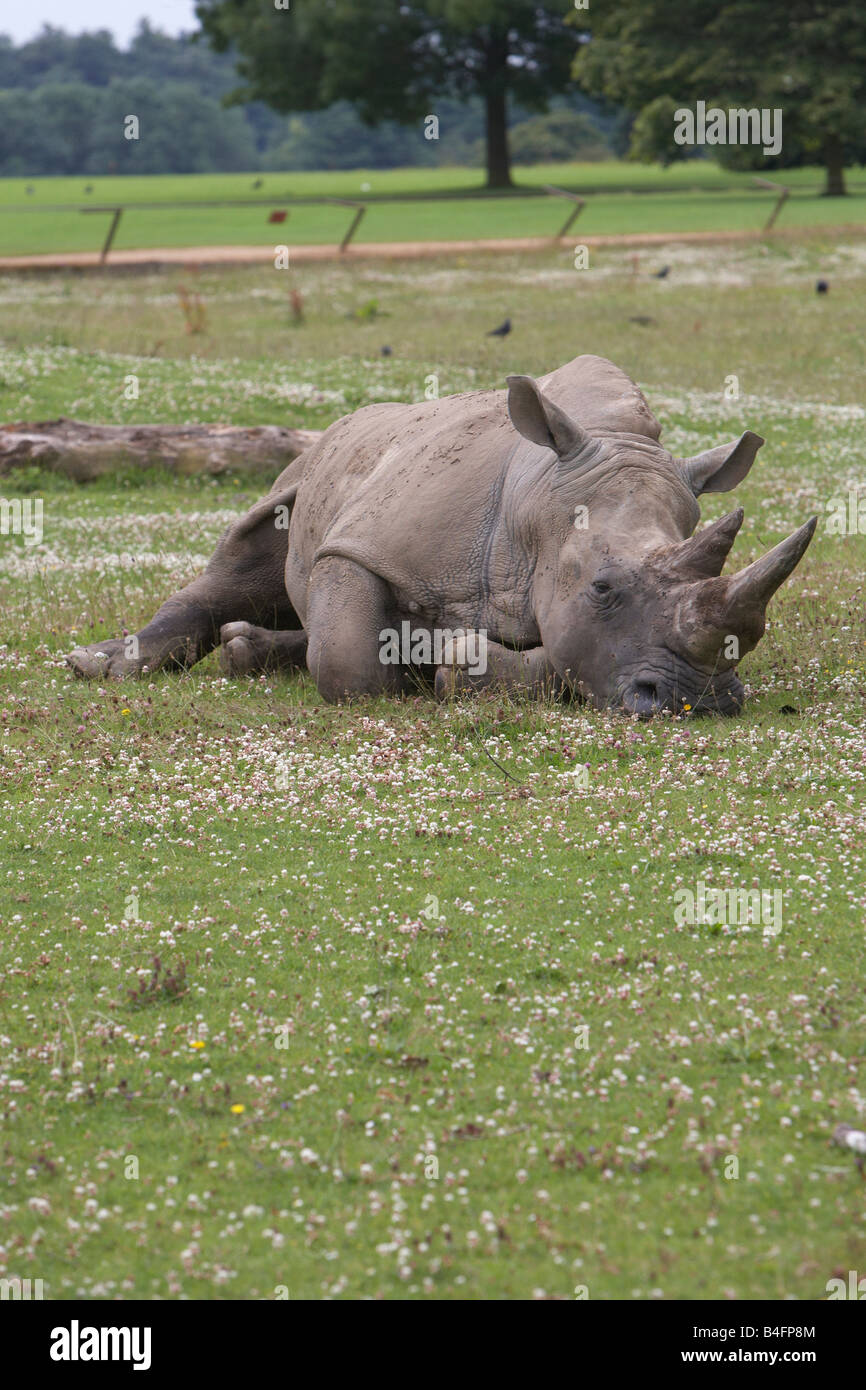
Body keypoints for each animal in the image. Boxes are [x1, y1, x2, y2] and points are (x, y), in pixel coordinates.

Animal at [67, 354, 816, 716]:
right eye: (602, 587)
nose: (700, 700)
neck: (534, 510)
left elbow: (556, 658)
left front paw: (453, 663)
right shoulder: (362, 546)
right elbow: (350, 665)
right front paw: (421, 662)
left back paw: (246, 650)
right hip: (305, 472)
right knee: (244, 558)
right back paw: (97, 667)